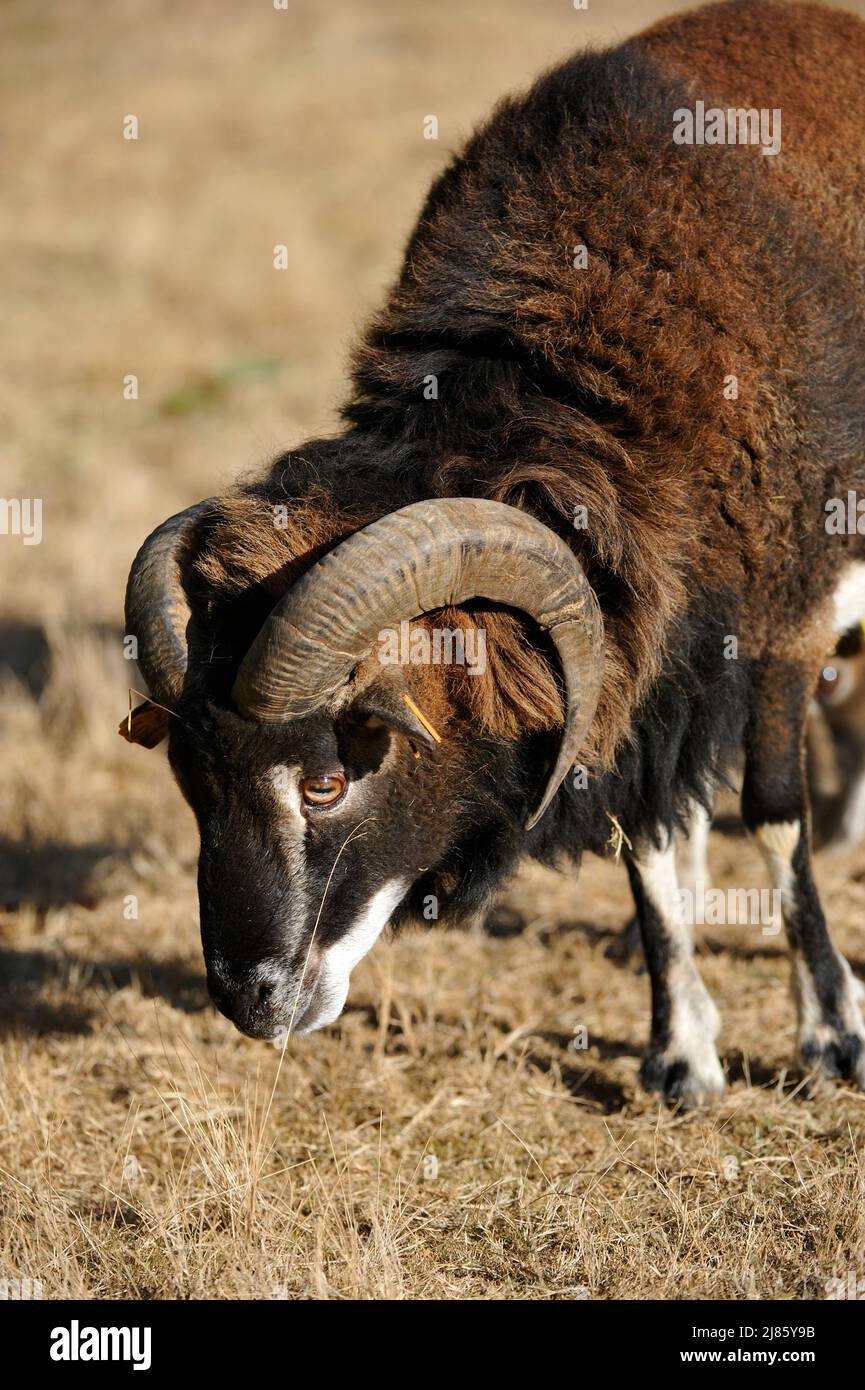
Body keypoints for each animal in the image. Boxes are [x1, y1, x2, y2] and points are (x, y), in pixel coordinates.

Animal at [122, 0, 865, 1106]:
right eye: (189, 774)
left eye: (326, 782)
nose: (249, 1000)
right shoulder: (639, 673)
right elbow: (648, 842)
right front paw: (679, 1058)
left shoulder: (786, 617)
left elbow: (773, 811)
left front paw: (831, 1037)